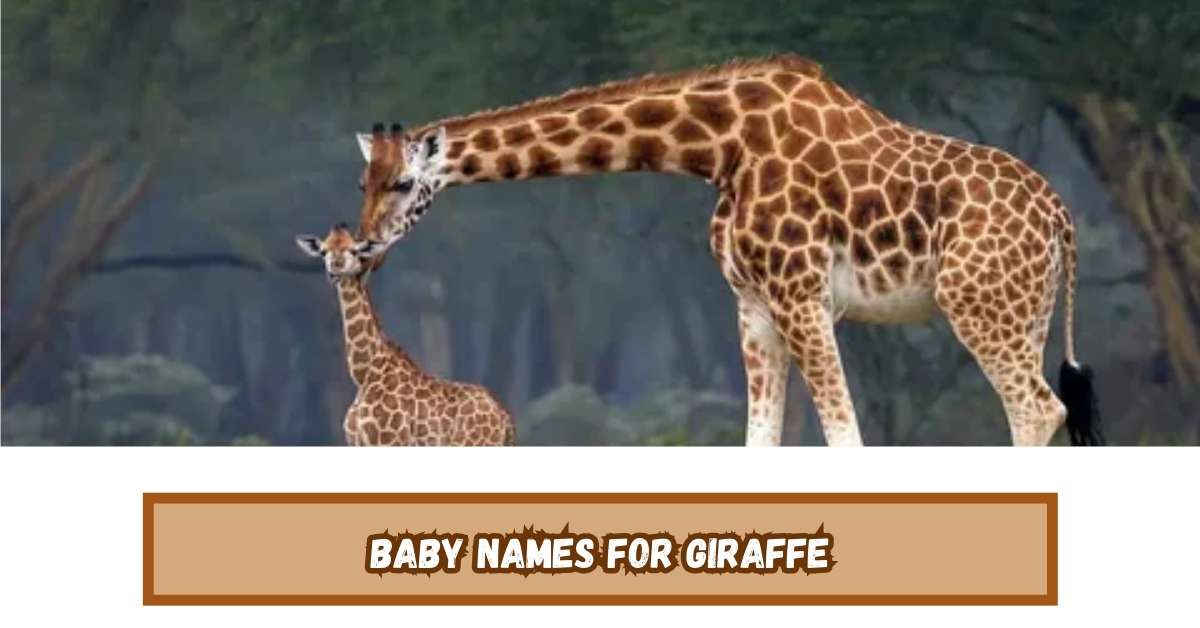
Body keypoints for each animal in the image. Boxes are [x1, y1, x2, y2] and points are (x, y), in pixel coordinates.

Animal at [295, 224, 516, 446]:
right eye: (324, 251)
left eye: (354, 250)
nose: (335, 268)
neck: (364, 373)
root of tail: (506, 419)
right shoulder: (355, 442)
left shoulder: (390, 440)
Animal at [350, 53, 1103, 447]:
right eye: (364, 181)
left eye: (404, 183)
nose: (363, 245)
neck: (718, 147)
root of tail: (1062, 216)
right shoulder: (754, 306)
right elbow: (760, 442)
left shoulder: (802, 296)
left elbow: (846, 437)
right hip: (1024, 313)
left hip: (981, 308)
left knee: (1036, 409)